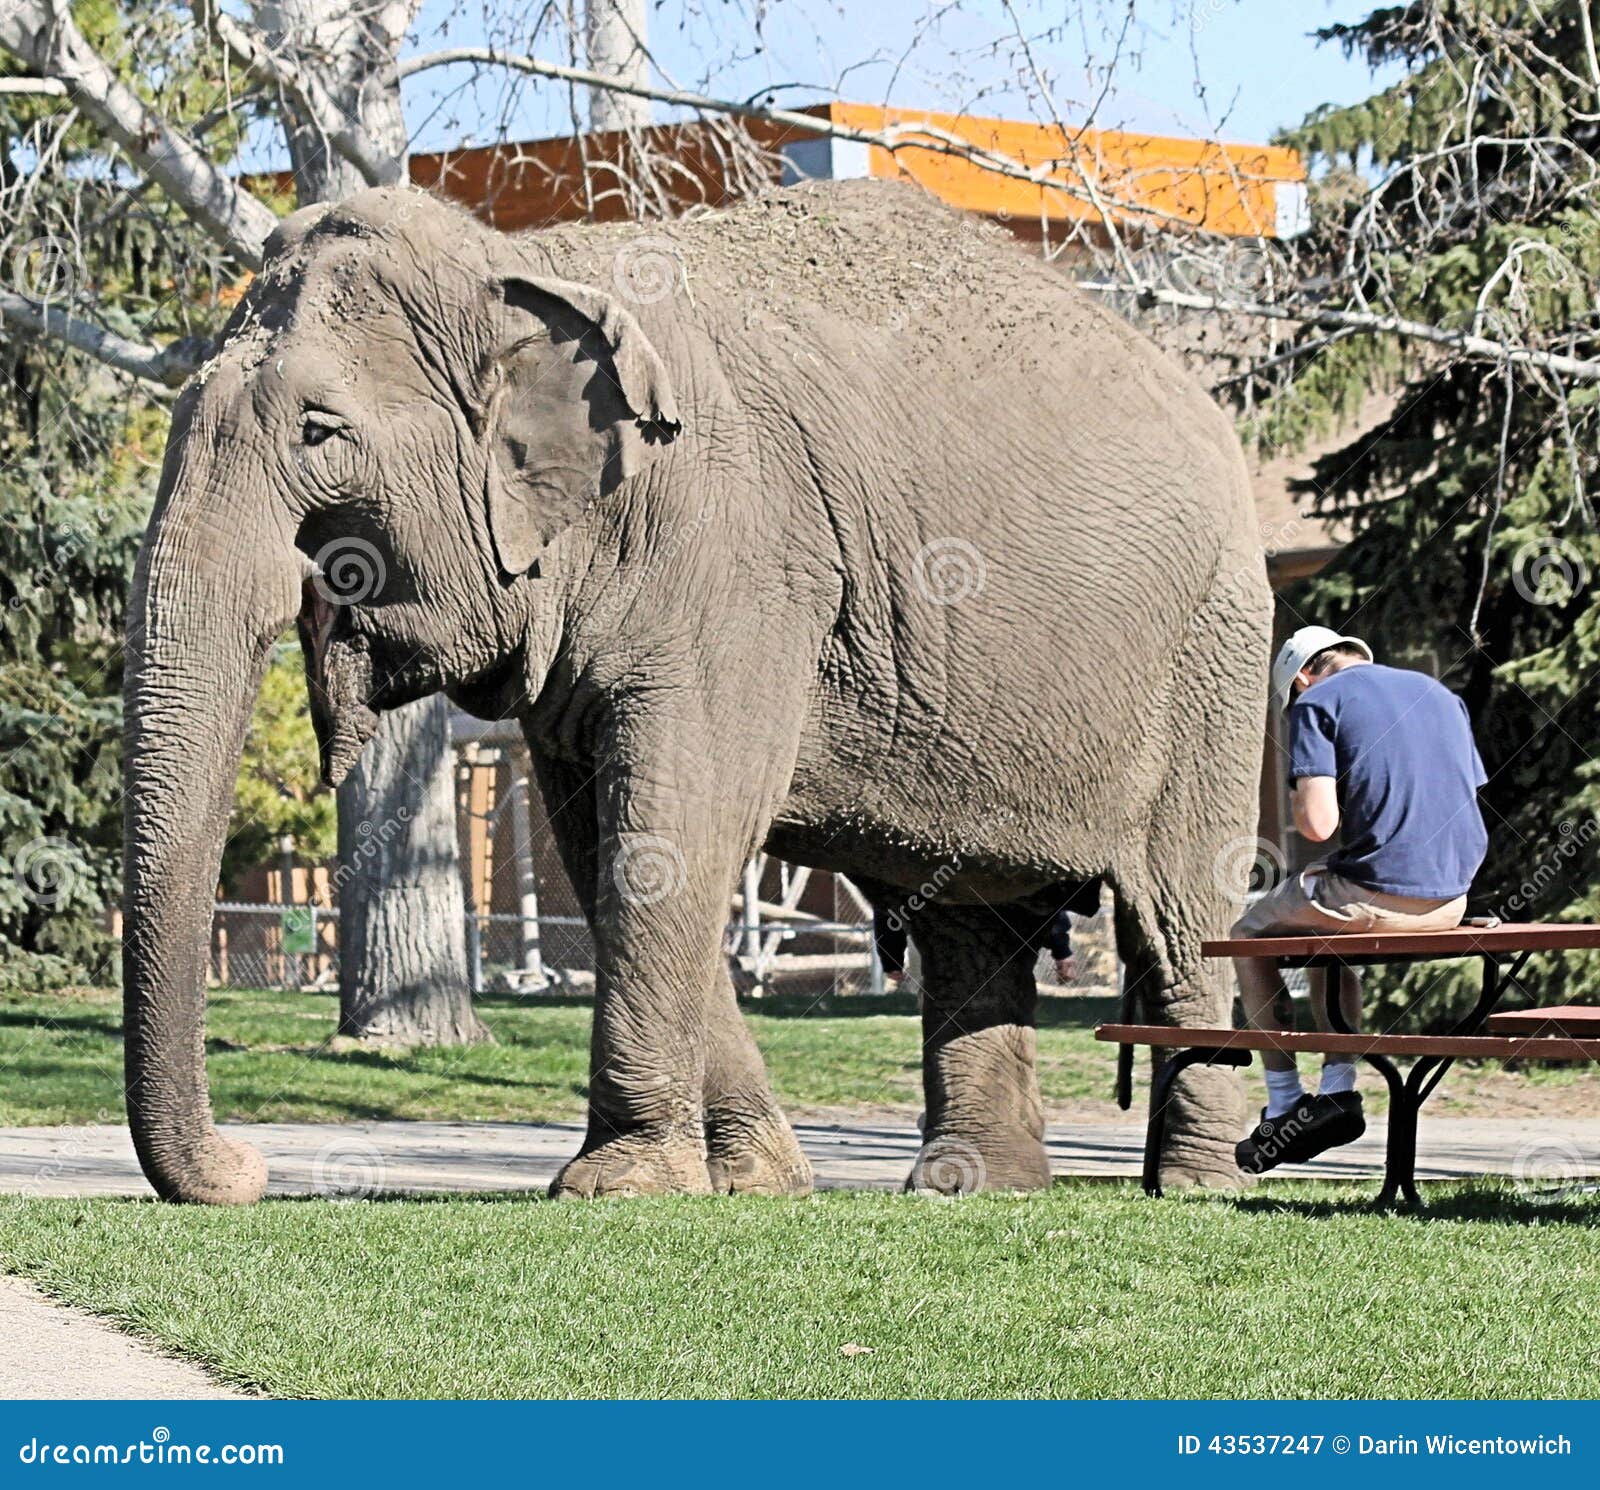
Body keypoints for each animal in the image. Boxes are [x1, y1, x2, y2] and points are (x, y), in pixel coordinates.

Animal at [120, 177, 1271, 1205]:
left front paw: (619, 1186)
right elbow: (604, 845)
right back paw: (968, 1188)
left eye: (319, 430)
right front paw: (757, 1180)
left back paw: (1196, 1183)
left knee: (1180, 913)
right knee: (970, 922)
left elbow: (679, 821)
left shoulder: (738, 559)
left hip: (1214, 649)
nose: (248, 1169)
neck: (522, 262)